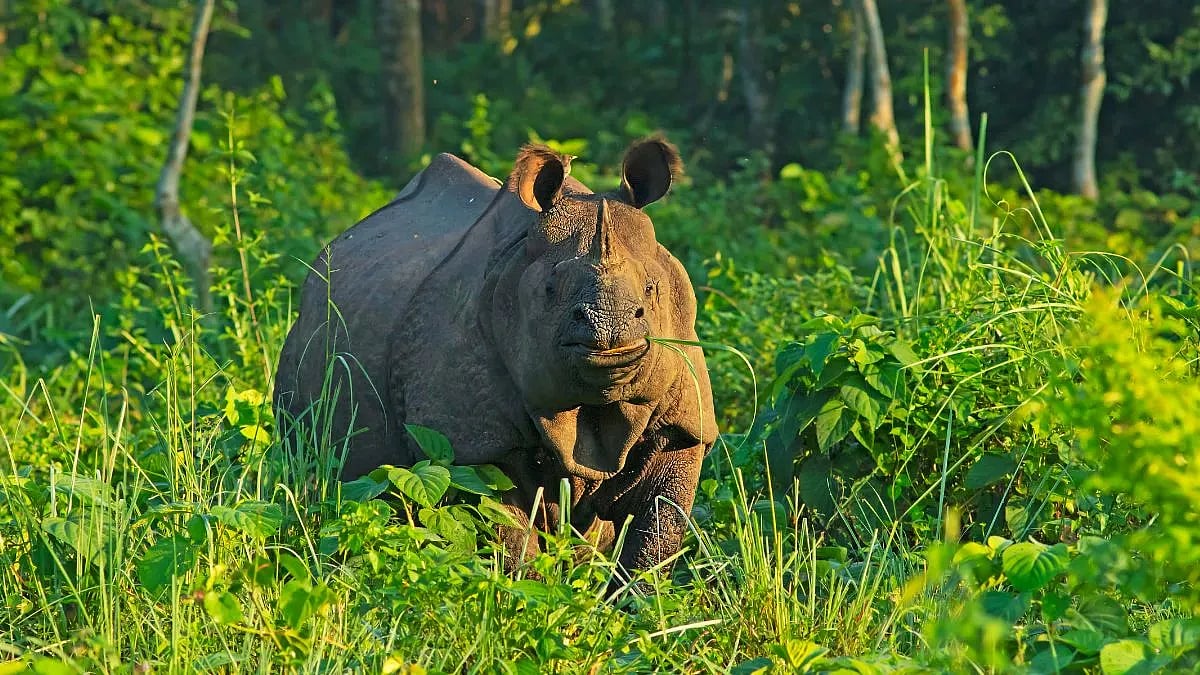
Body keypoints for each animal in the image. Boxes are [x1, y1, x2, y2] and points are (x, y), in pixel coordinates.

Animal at [274, 137, 717, 580]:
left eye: (651, 289)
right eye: (550, 289)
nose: (610, 325)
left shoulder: (684, 422)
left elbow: (658, 528)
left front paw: (635, 597)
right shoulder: (469, 439)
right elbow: (508, 530)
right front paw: (529, 590)